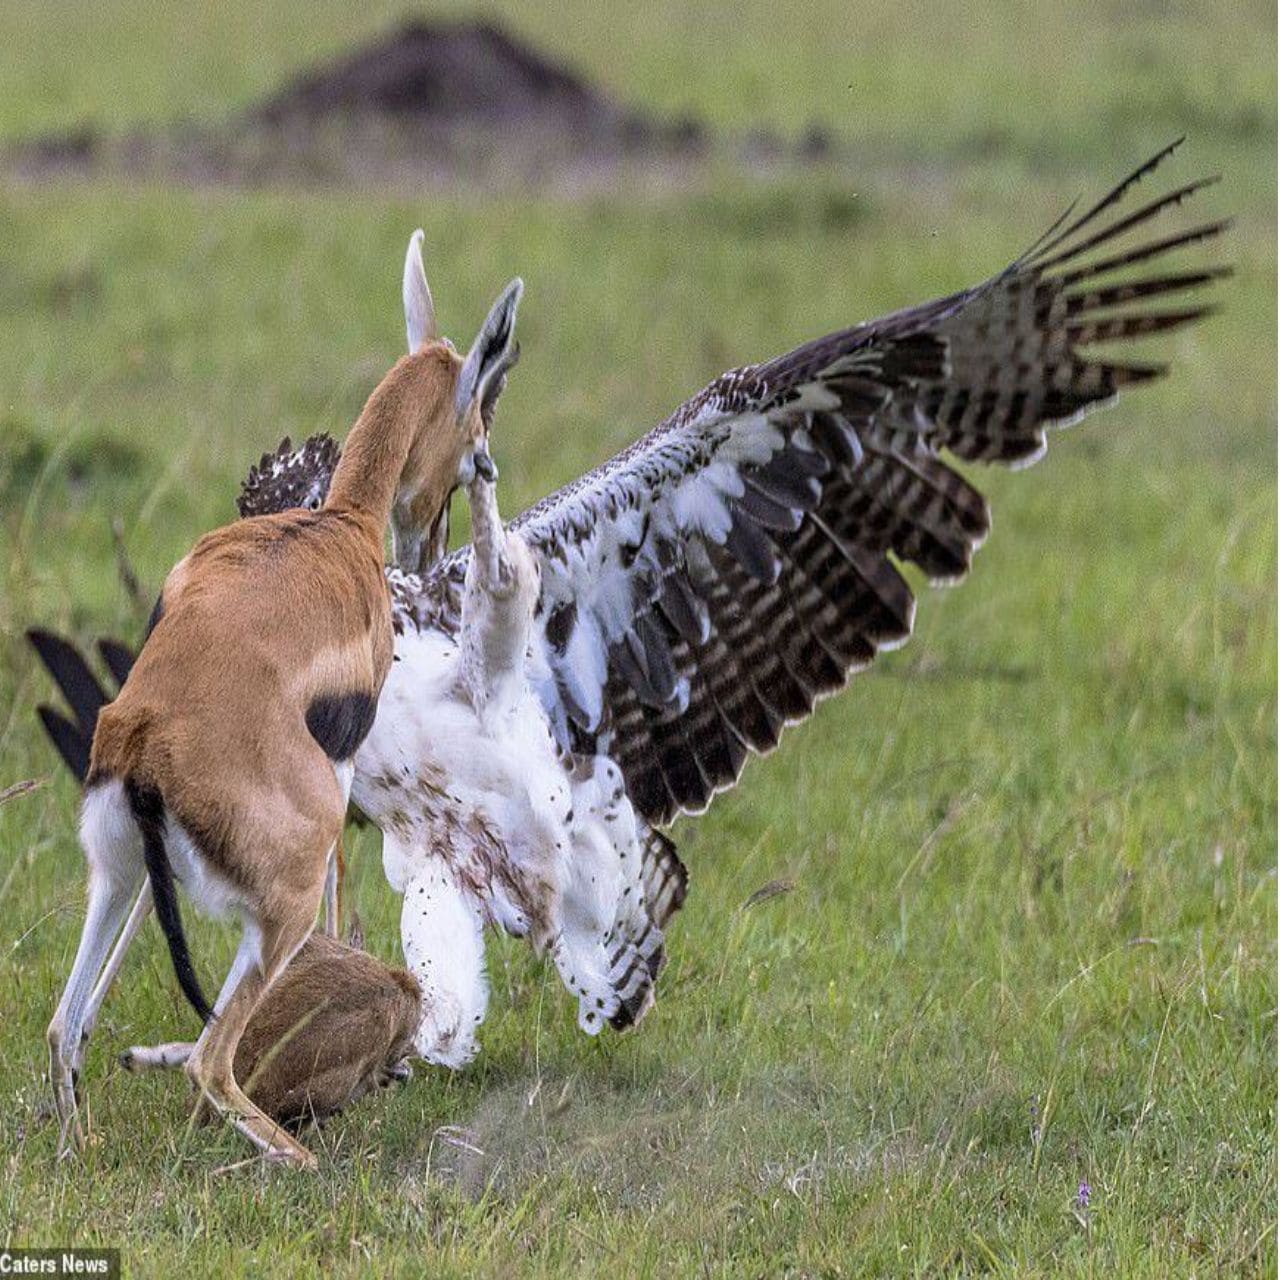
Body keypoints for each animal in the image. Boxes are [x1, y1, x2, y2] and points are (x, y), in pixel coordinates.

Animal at [46, 232, 522, 1167]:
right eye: (478, 445)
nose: (432, 545)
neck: (335, 525)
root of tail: (145, 742)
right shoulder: (342, 777)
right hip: (277, 912)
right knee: (209, 1056)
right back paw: (299, 1159)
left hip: (115, 869)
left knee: (67, 1022)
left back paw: (73, 1143)